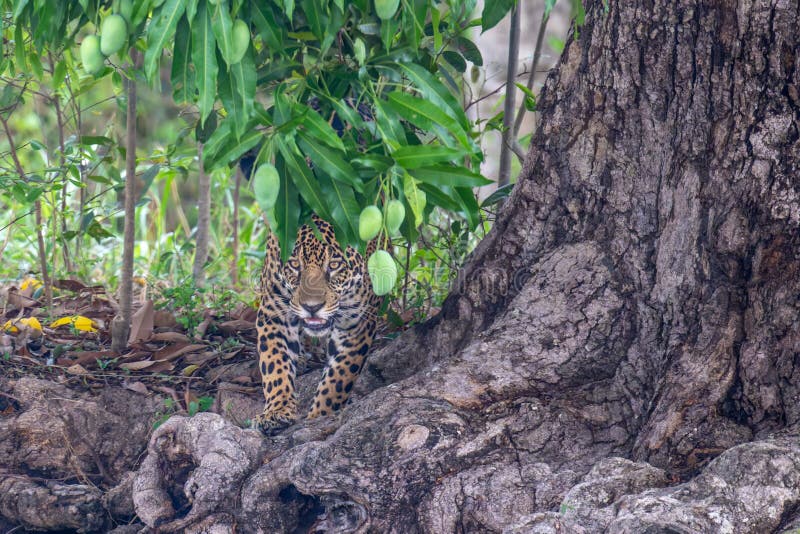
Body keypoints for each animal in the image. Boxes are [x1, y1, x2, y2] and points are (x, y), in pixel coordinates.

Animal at [252, 215, 381, 434]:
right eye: (295, 265)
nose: (311, 307)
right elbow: (275, 364)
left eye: (334, 265)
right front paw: (276, 412)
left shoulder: (357, 324)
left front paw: (319, 416)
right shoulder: (274, 315)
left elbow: (338, 377)